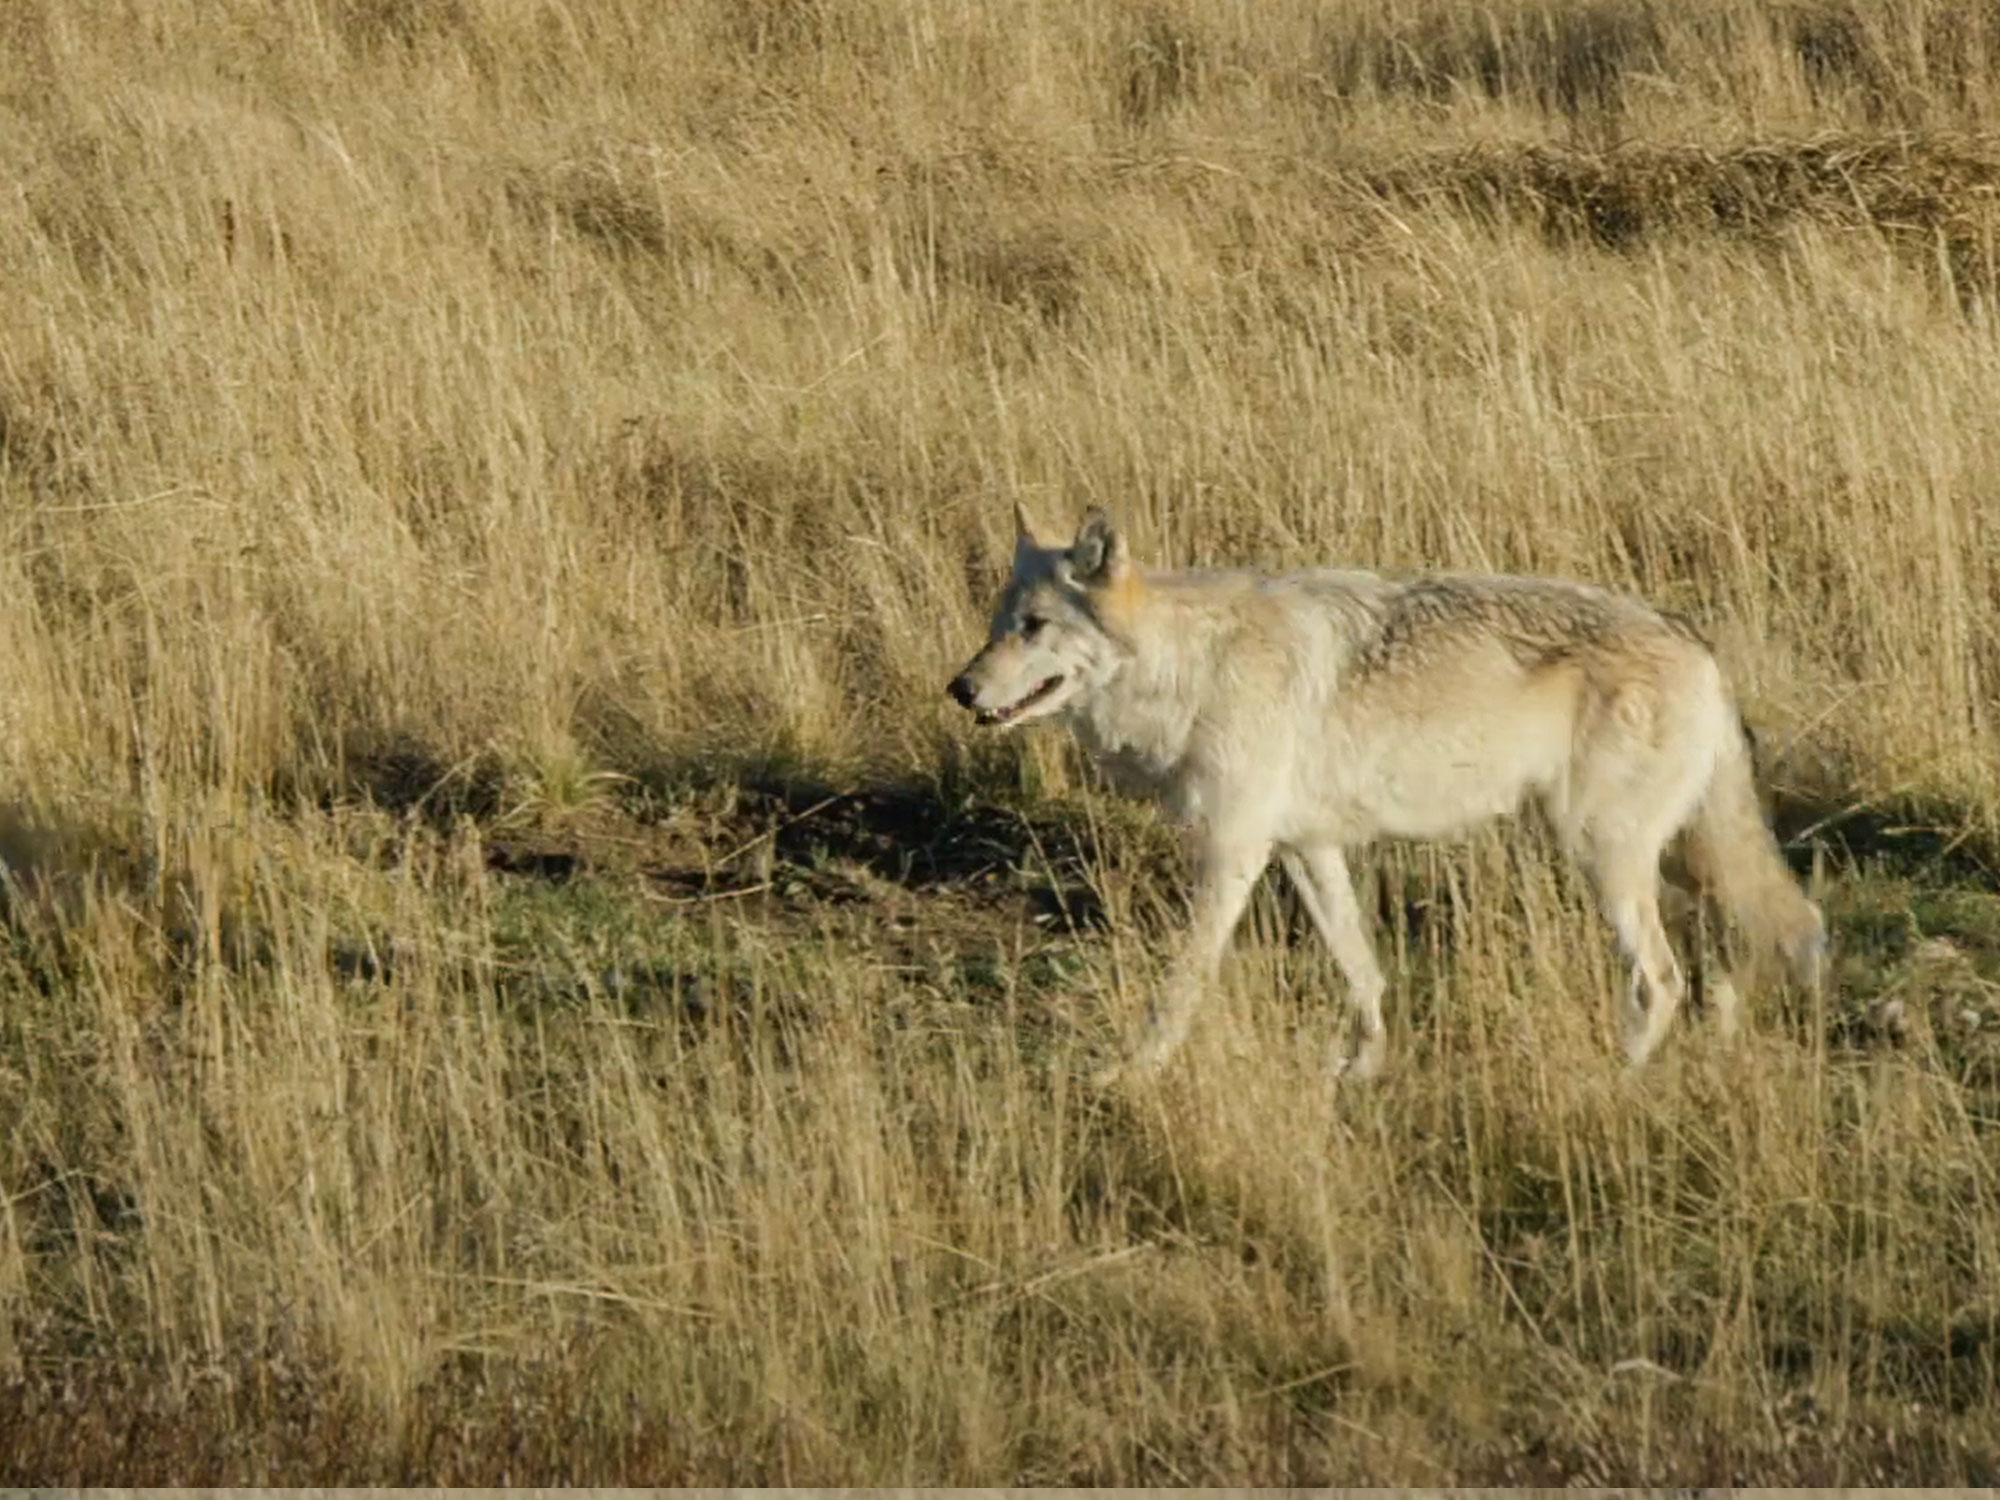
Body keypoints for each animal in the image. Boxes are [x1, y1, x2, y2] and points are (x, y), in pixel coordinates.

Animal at [947, 505, 1826, 1080]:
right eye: (996, 624)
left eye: (1033, 626)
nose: (960, 689)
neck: (1191, 667)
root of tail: (1692, 638)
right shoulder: (1307, 848)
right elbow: (1363, 972)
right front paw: (1360, 1071)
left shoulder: (1233, 852)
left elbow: (1183, 984)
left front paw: (1132, 1072)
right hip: (1659, 860)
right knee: (1732, 947)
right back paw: (1715, 1055)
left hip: (1603, 859)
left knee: (1662, 978)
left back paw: (1620, 1081)